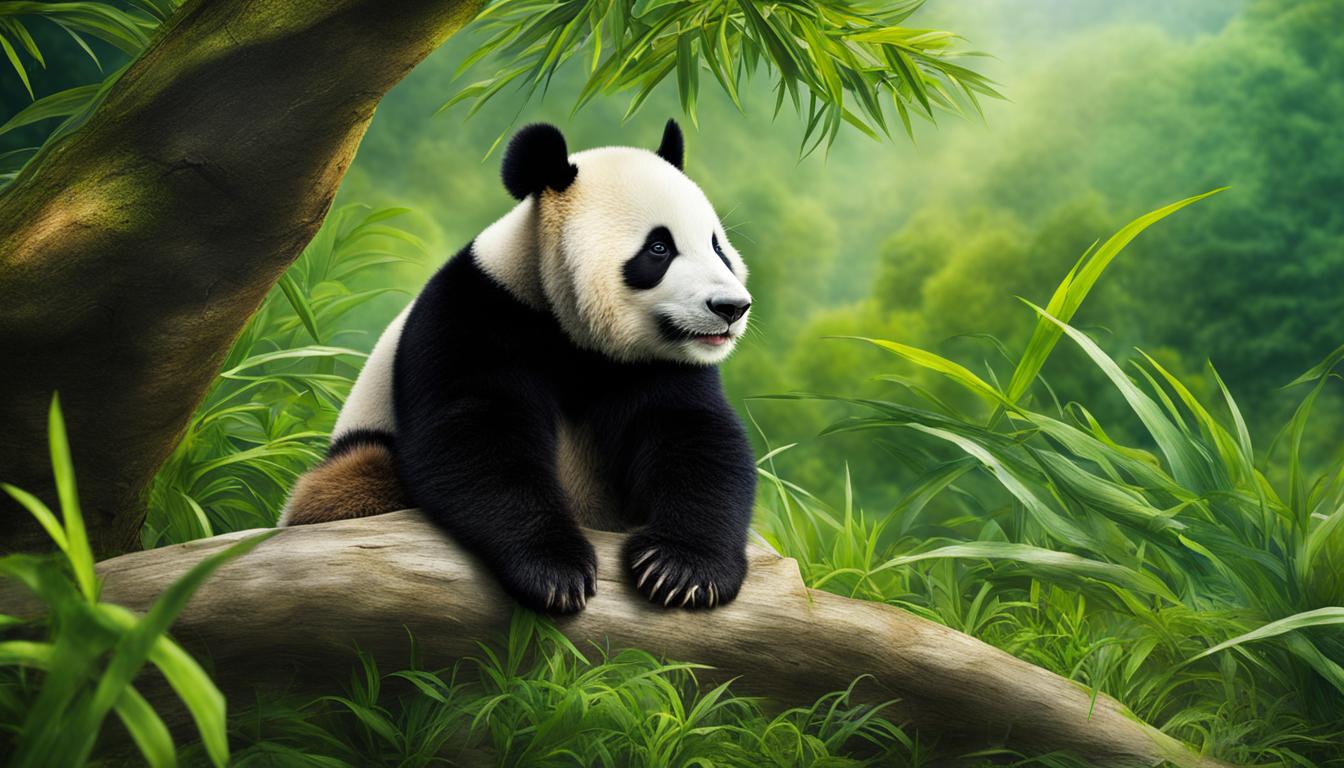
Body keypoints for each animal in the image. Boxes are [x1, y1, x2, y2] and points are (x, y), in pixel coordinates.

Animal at [281, 120, 757, 615]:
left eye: (717, 246)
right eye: (659, 248)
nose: (731, 307)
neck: (569, 331)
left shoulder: (653, 362)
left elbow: (694, 438)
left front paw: (681, 570)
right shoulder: (474, 314)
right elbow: (478, 438)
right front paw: (555, 571)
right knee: (360, 475)